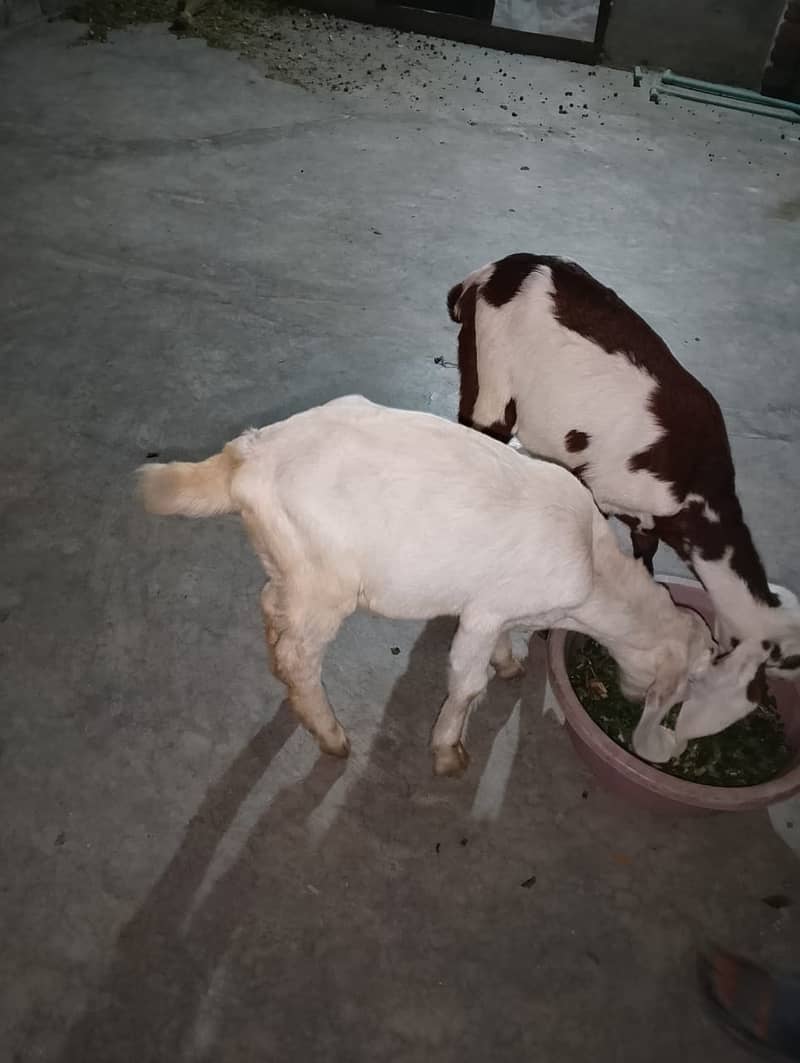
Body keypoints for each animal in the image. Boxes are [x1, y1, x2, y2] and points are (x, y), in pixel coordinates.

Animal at [138, 396, 764, 772]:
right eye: (689, 686)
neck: (594, 570)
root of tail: (246, 458)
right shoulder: (483, 612)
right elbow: (465, 681)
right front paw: (447, 751)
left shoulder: (504, 609)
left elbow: (500, 651)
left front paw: (511, 664)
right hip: (325, 585)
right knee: (300, 656)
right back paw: (330, 733)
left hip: (291, 568)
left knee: (272, 608)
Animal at [448, 253, 800, 678]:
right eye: (793, 661)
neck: (695, 491)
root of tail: (488, 274)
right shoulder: (599, 487)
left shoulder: (645, 519)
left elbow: (645, 555)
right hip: (491, 372)